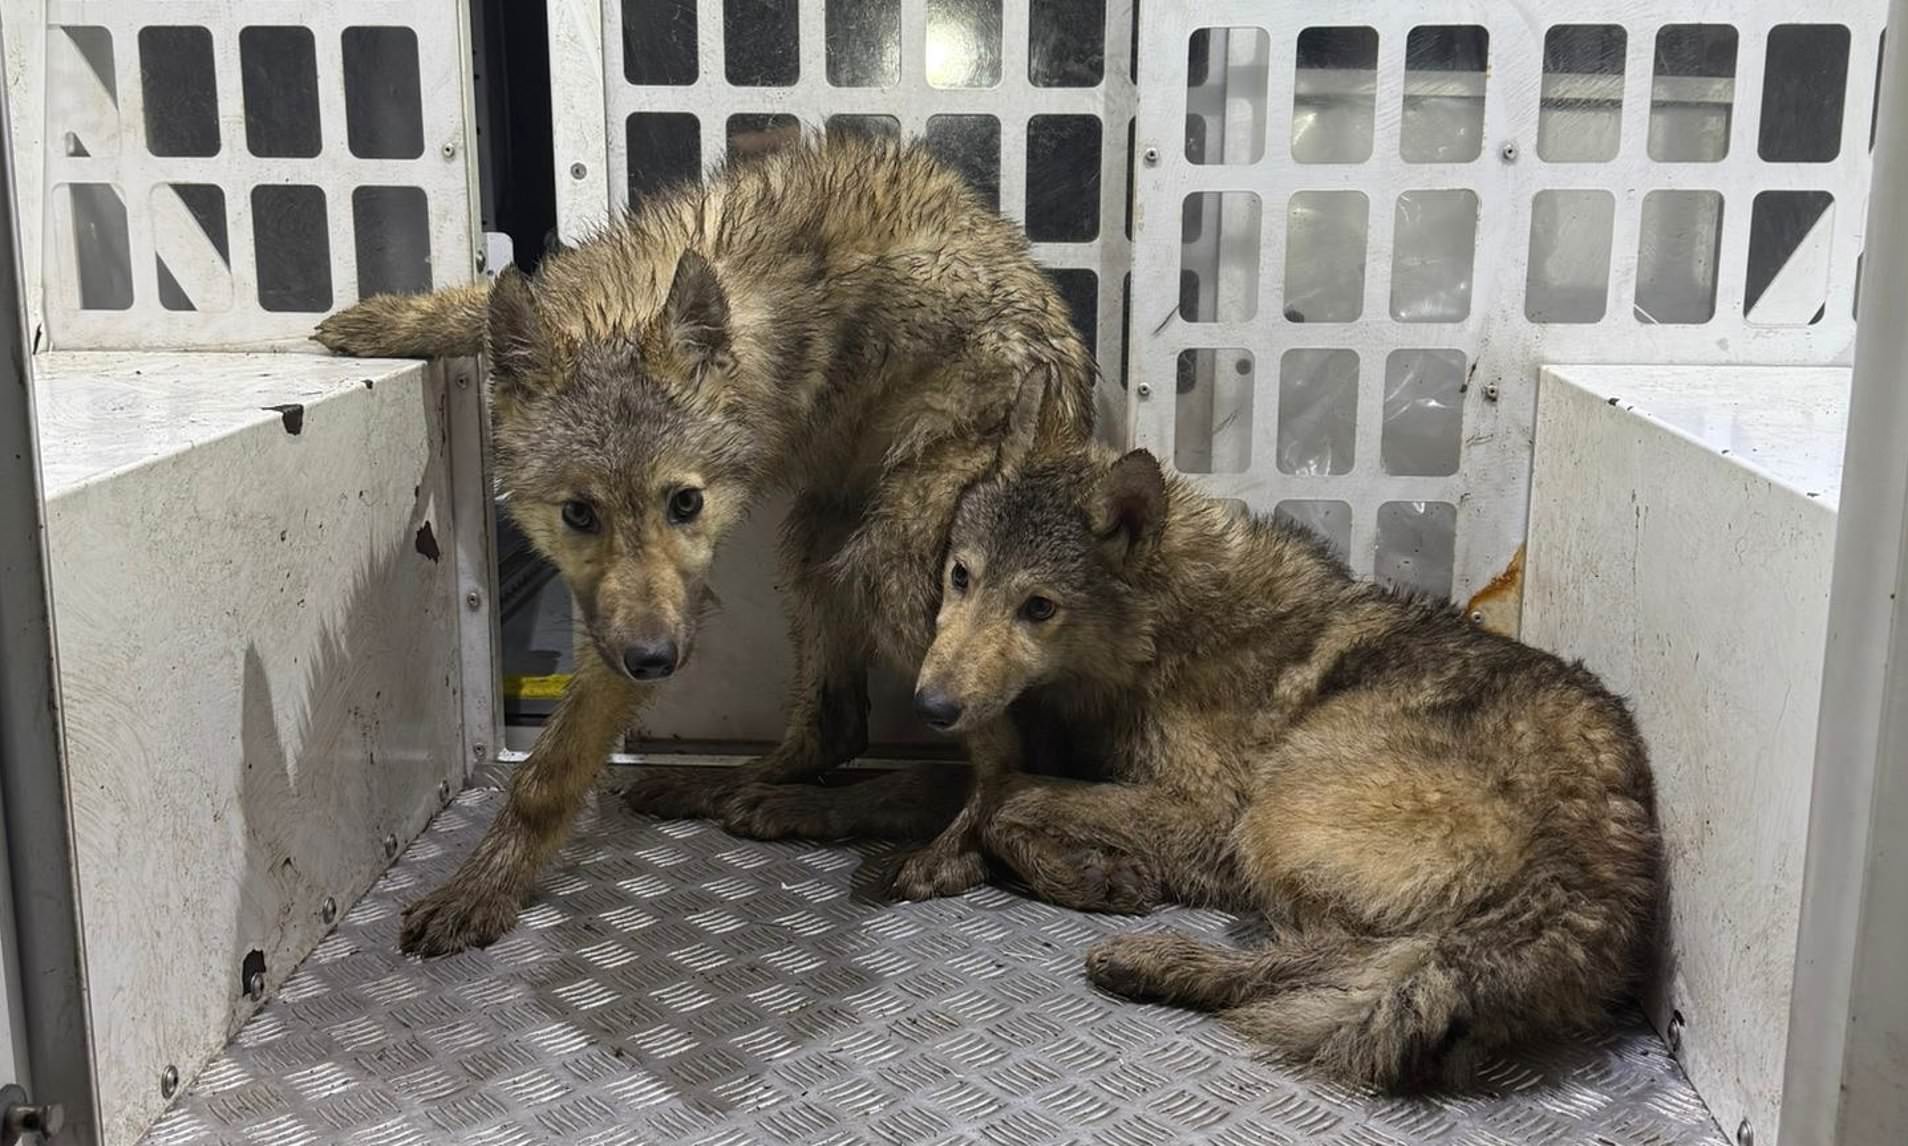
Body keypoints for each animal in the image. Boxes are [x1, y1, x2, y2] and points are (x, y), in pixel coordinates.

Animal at [314, 133, 1096, 955]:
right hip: (817, 543)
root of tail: (1076, 423)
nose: (655, 660)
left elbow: (547, 775)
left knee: (1003, 748)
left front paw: (483, 886)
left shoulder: (643, 627)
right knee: (832, 729)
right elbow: (484, 299)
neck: (634, 304)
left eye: (684, 503)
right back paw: (735, 789)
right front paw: (383, 321)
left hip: (890, 569)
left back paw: (951, 848)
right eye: (579, 513)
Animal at [743, 444, 1662, 1089]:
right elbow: (927, 783)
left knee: (1341, 957)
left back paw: (1161, 961)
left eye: (1038, 606)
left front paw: (1038, 867)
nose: (930, 705)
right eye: (960, 577)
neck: (1159, 633)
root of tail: (1596, 868)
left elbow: (1005, 795)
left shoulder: (1210, 818)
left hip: (1277, 818)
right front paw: (787, 801)